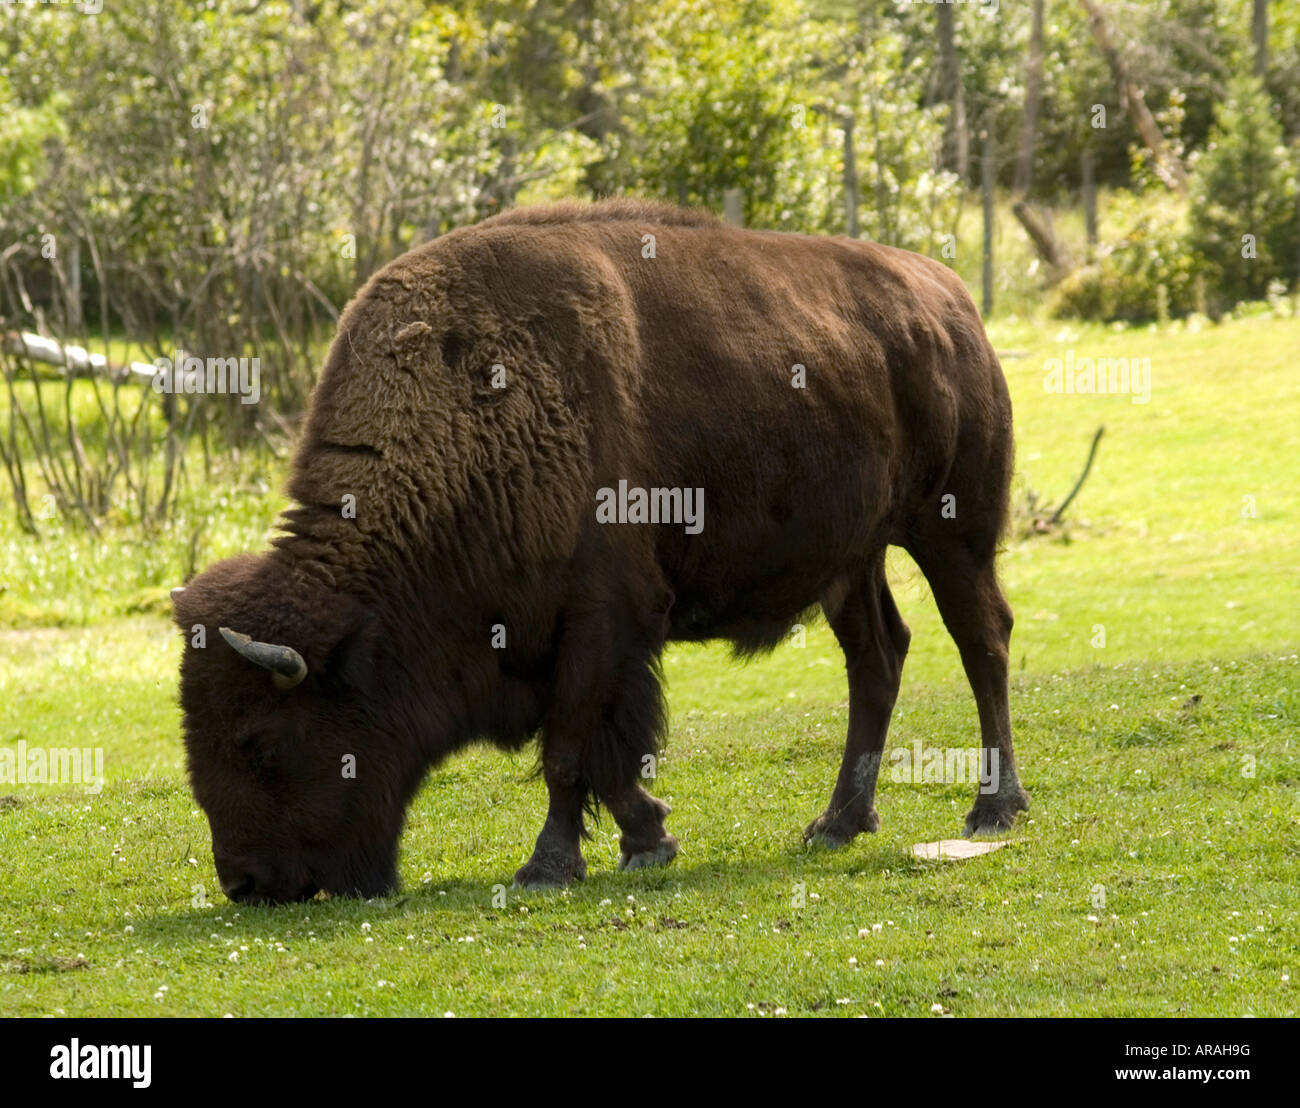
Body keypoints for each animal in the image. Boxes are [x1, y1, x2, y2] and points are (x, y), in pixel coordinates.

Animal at [172, 198, 1028, 904]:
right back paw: (839, 822)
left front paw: (550, 867)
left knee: (982, 641)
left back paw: (993, 809)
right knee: (877, 658)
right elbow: (603, 751)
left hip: (952, 533)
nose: (246, 883)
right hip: (852, 561)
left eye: (263, 743)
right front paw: (650, 837)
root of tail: (952, 303)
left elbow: (571, 749)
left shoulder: (599, 621)